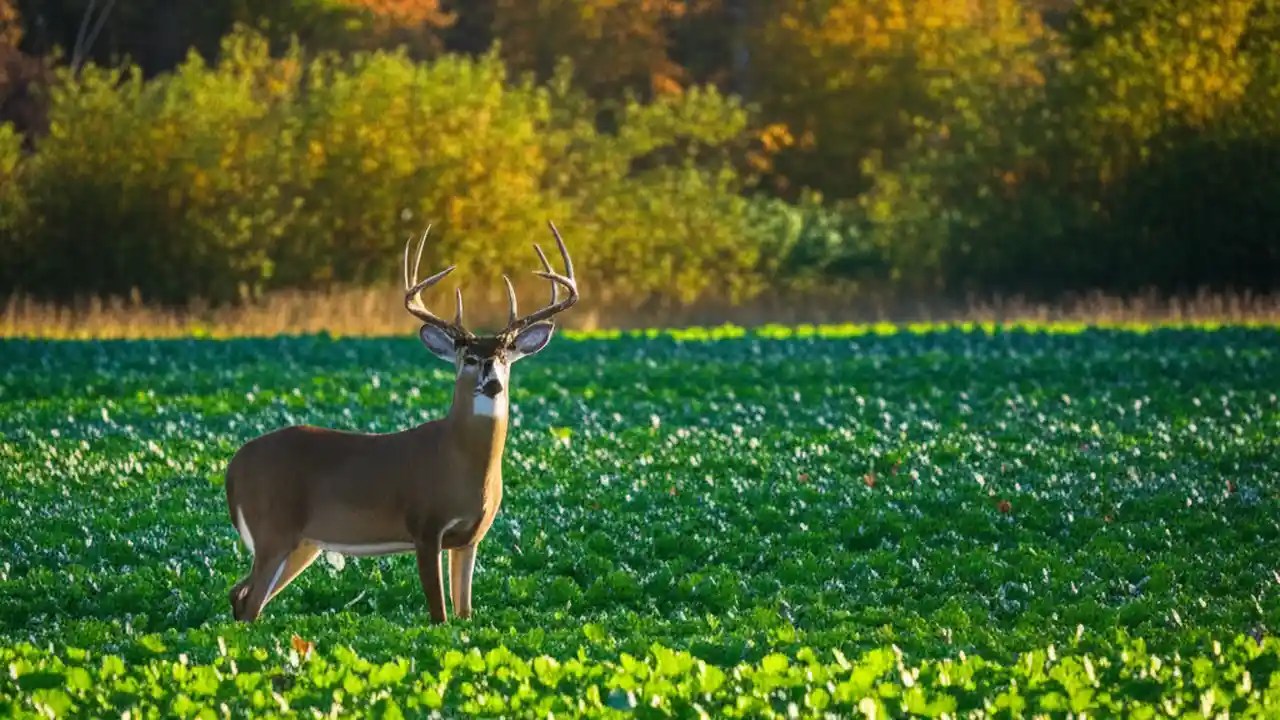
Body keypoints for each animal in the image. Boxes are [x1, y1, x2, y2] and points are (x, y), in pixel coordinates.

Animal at [224, 222, 578, 624]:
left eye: (505, 356)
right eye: (469, 358)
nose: (492, 383)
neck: (462, 465)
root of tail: (233, 467)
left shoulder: (470, 538)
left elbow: (464, 612)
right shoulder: (425, 526)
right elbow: (439, 614)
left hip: (303, 544)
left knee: (239, 594)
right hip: (273, 529)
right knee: (249, 602)